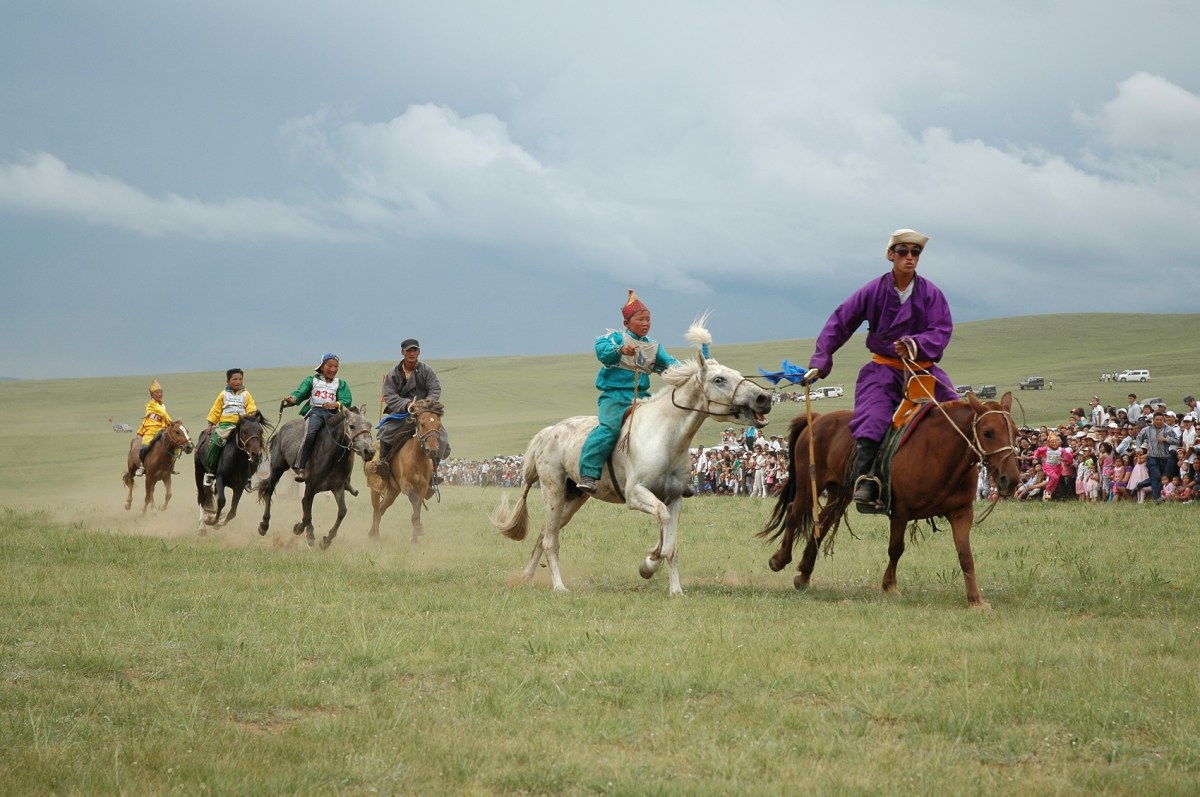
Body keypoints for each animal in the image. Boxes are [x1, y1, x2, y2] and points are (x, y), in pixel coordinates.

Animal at [257, 407, 375, 549]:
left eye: (369, 425)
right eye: (352, 426)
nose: (369, 451)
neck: (332, 456)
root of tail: (282, 430)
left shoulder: (337, 487)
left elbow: (342, 511)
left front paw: (326, 540)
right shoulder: (311, 485)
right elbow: (307, 512)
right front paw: (299, 529)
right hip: (277, 467)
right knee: (270, 490)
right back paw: (264, 525)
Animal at [364, 399, 443, 543]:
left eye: (438, 424)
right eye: (422, 424)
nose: (432, 450)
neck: (417, 458)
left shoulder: (423, 487)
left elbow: (417, 506)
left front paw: (415, 539)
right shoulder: (406, 484)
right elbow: (413, 500)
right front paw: (418, 527)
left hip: (392, 491)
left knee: (381, 509)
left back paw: (373, 534)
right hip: (375, 489)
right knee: (376, 510)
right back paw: (376, 537)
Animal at [491, 328, 773, 596]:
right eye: (719, 379)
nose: (764, 398)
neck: (665, 437)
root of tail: (548, 433)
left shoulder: (675, 499)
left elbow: (672, 545)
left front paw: (675, 589)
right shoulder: (635, 494)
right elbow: (662, 522)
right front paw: (648, 564)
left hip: (574, 498)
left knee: (543, 534)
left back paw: (525, 577)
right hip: (554, 491)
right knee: (550, 540)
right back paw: (559, 587)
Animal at [758, 391, 1021, 608]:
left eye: (1016, 433)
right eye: (987, 433)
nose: (1010, 479)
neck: (939, 452)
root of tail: (817, 419)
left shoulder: (961, 512)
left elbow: (965, 555)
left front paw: (976, 600)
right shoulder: (902, 509)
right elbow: (896, 548)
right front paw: (889, 586)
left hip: (839, 494)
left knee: (821, 524)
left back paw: (803, 575)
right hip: (808, 486)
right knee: (794, 512)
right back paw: (779, 560)